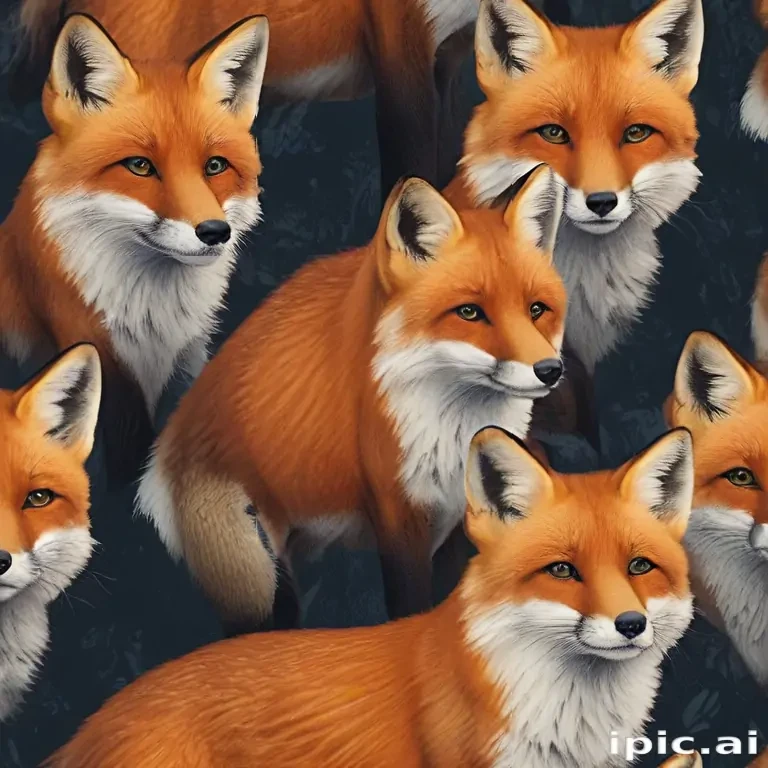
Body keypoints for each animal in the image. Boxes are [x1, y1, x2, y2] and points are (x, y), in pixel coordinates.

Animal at [0, 13, 267, 485]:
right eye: (140, 166)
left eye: (215, 166)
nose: (215, 232)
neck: (154, 332)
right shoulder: (115, 393)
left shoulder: (186, 366)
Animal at [135, 165, 567, 634]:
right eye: (470, 312)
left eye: (537, 309)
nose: (549, 370)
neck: (456, 432)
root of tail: (166, 449)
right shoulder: (398, 520)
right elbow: (410, 608)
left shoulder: (456, 523)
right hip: (260, 585)